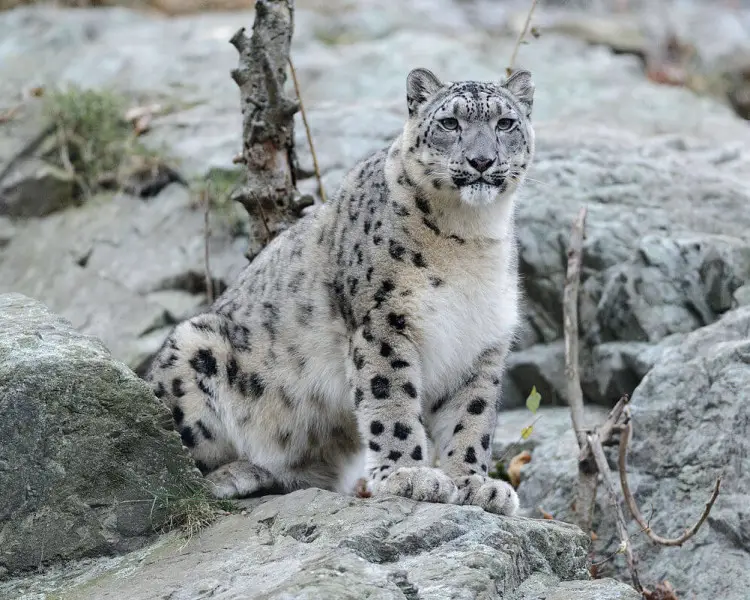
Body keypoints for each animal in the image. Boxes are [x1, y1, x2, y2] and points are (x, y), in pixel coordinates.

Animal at [146, 67, 535, 516]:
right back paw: (233, 474)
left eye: (505, 123)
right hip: (194, 349)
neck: (469, 235)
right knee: (171, 467)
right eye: (450, 123)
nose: (481, 161)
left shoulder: (480, 341)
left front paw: (475, 484)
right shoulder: (383, 322)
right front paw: (408, 475)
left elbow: (471, 416)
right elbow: (391, 400)